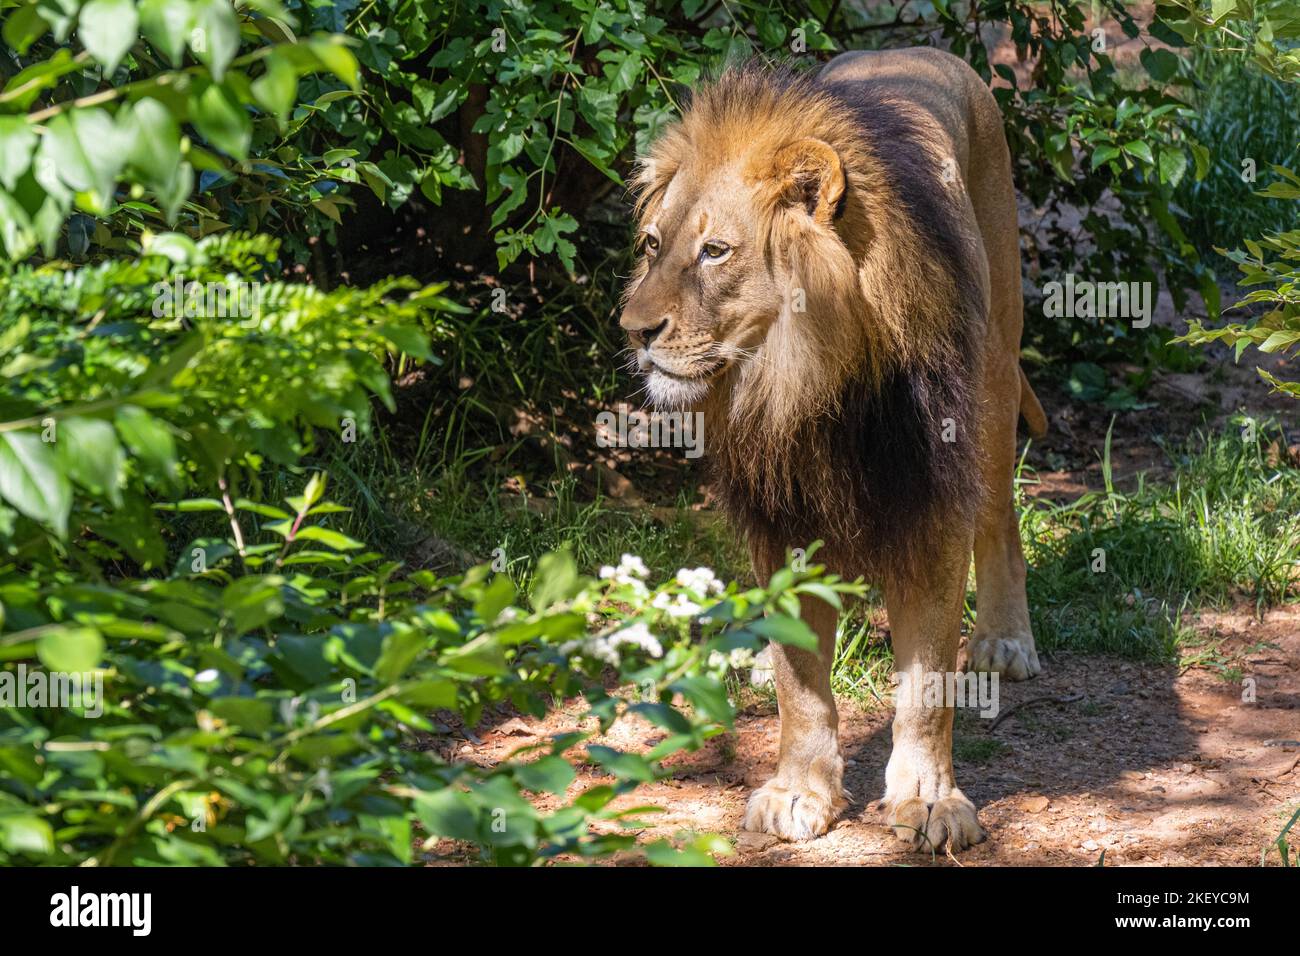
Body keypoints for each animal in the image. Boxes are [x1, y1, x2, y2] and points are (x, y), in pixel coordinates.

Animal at [618, 48, 1049, 851]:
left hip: (995, 375)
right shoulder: (778, 517)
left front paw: (929, 801)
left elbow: (926, 686)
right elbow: (801, 683)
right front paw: (799, 790)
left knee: (1001, 516)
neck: (806, 379)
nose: (633, 330)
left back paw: (1006, 642)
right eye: (654, 245)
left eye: (715, 252)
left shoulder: (931, 508)